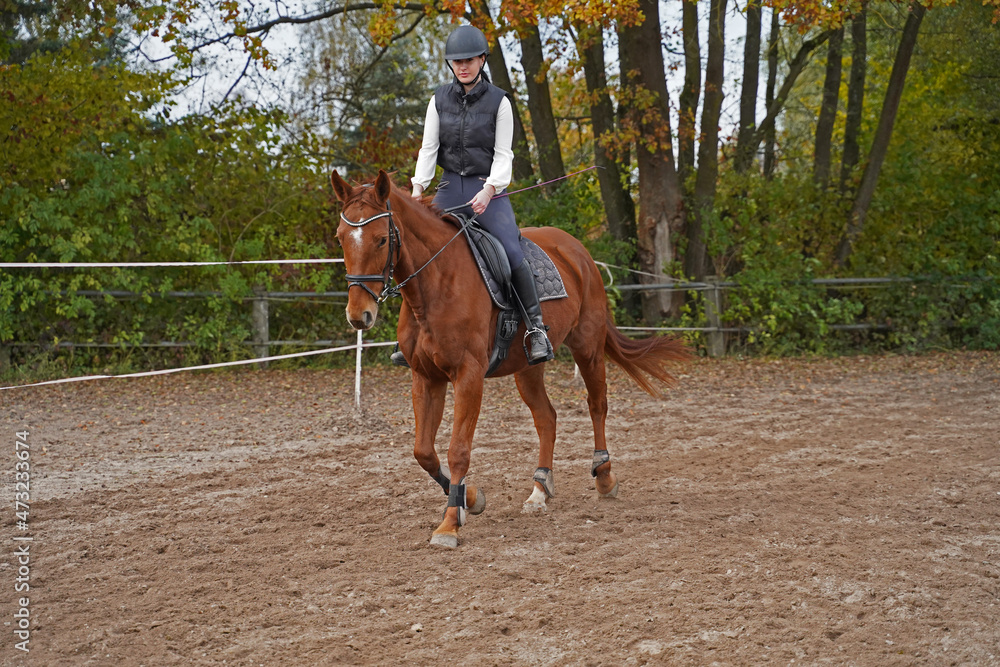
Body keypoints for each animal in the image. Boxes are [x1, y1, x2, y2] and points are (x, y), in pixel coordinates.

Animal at [331, 169, 689, 549]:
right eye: (341, 238)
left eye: (382, 239)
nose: (359, 315)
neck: (435, 284)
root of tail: (576, 249)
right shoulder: (426, 377)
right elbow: (424, 451)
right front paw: (470, 500)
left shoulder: (468, 375)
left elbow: (458, 449)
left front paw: (449, 525)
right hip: (527, 368)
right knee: (546, 418)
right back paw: (539, 490)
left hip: (587, 347)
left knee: (597, 405)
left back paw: (604, 477)